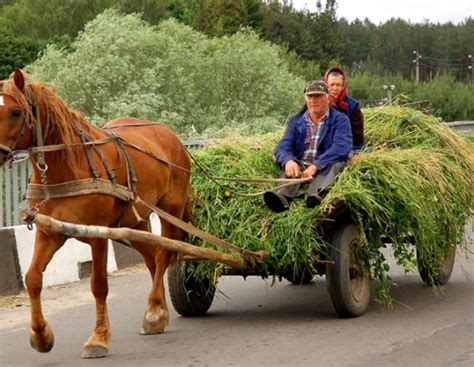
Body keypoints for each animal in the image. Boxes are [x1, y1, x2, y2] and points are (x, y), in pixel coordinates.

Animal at [0, 69, 193, 360]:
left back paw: (154, 313)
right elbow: (32, 278)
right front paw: (40, 335)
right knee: (152, 259)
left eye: (15, 112)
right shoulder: (49, 232)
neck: (69, 166)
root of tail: (168, 134)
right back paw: (157, 308)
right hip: (133, 224)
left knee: (162, 255)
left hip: (171, 210)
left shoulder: (98, 235)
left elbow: (99, 285)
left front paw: (99, 338)